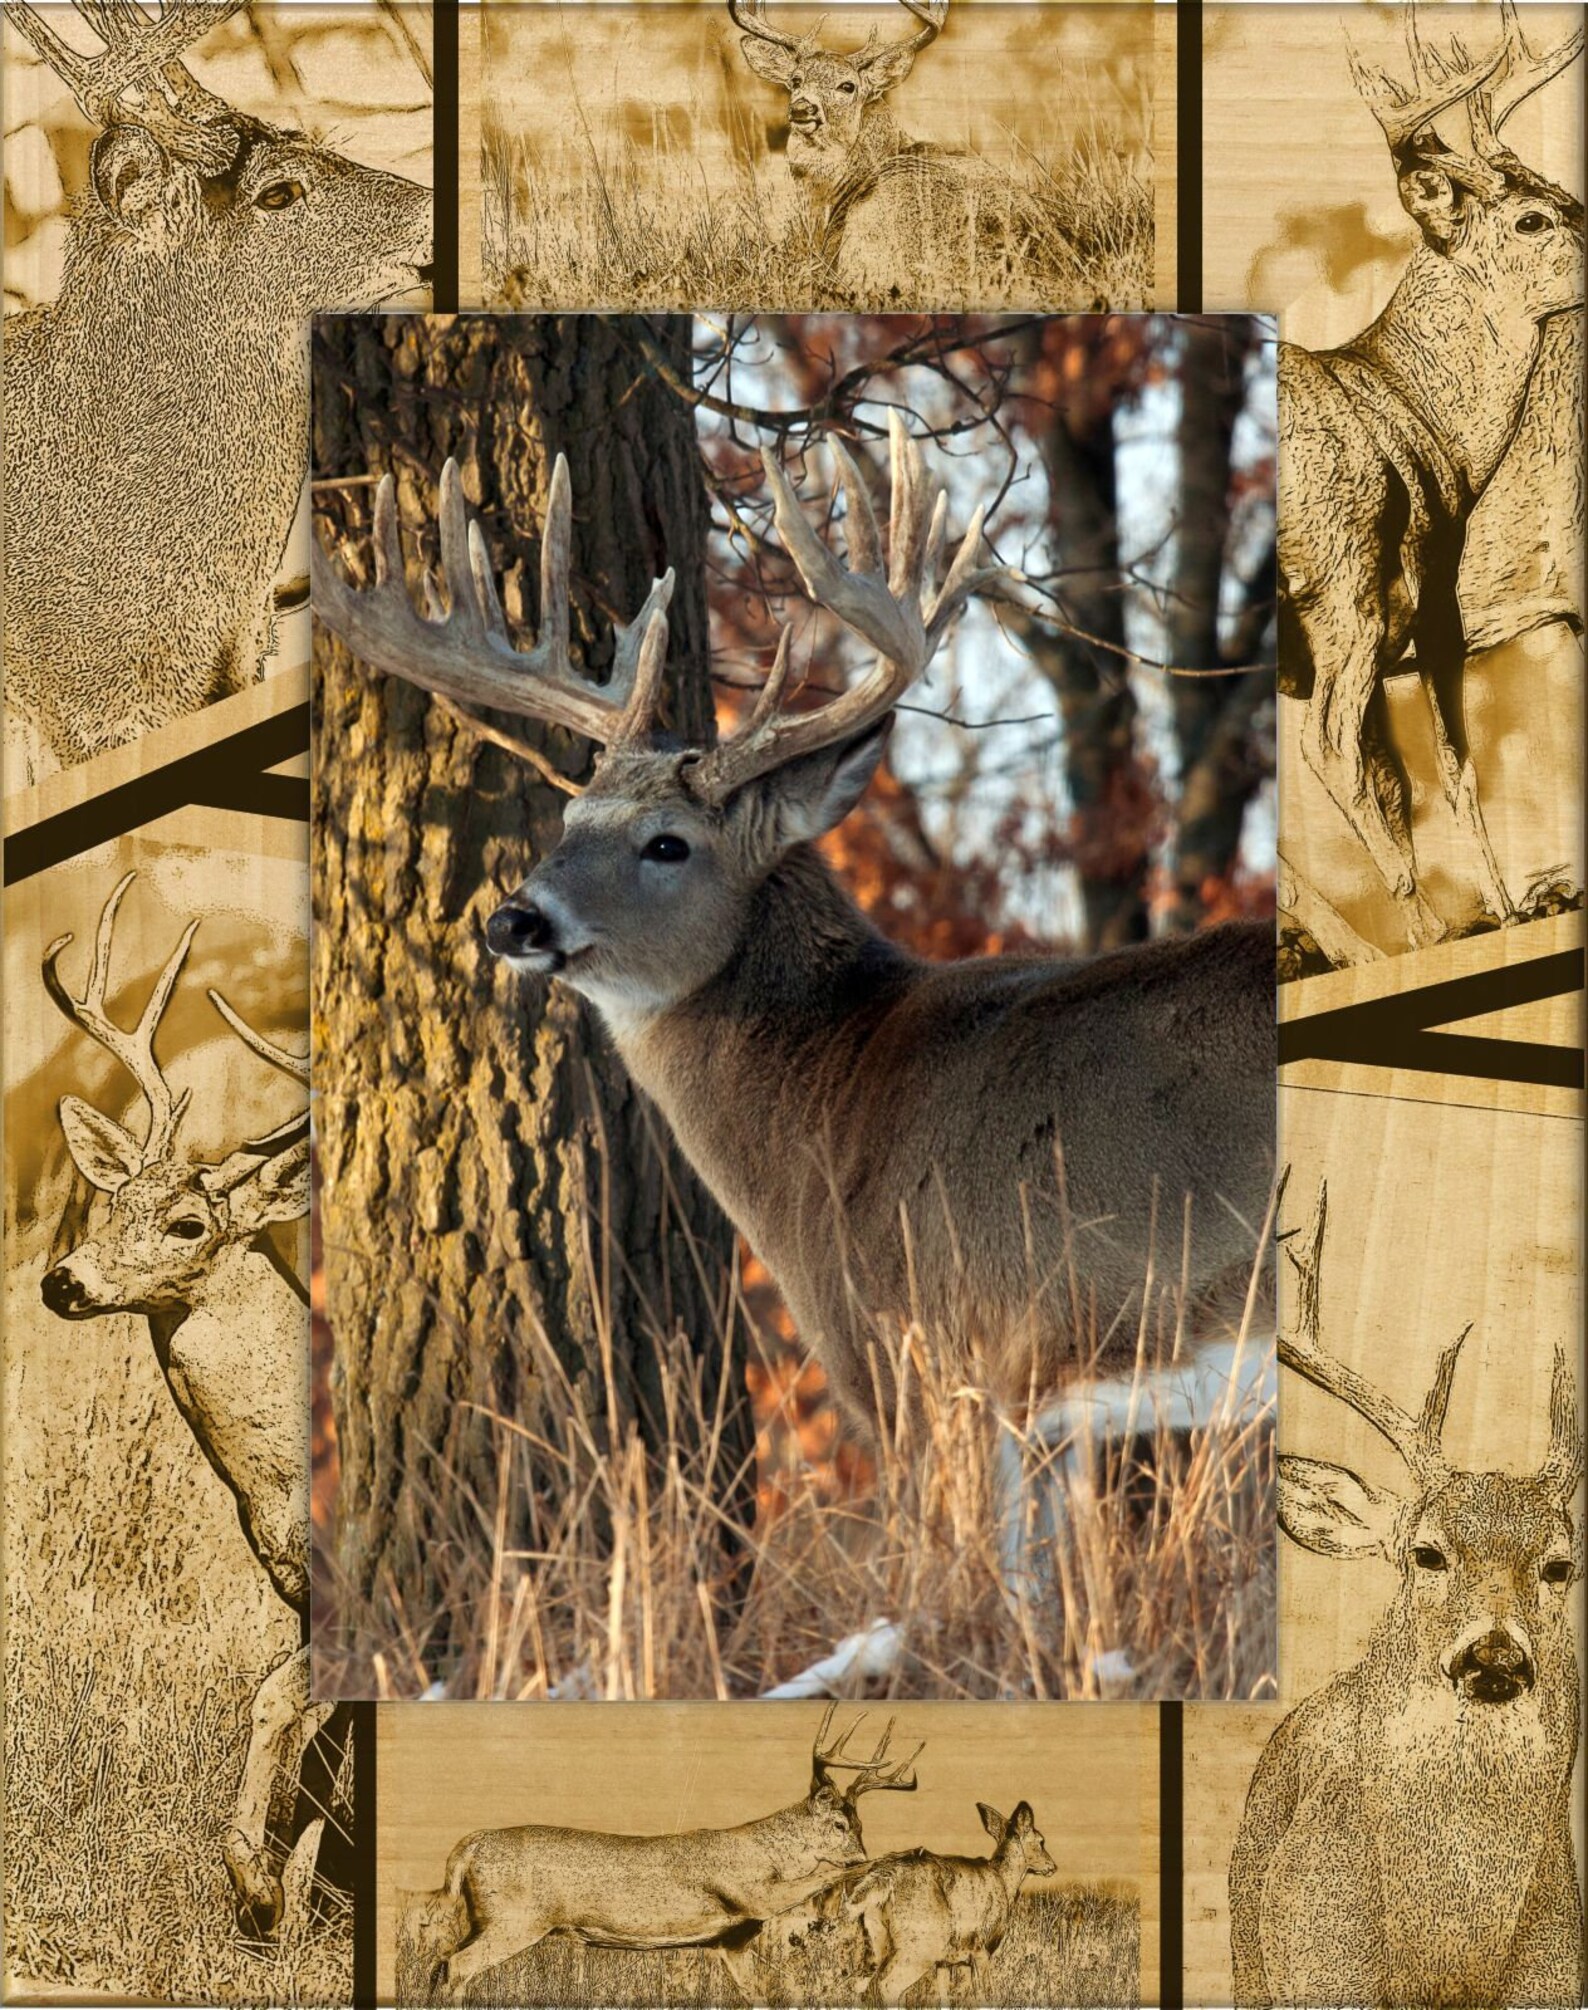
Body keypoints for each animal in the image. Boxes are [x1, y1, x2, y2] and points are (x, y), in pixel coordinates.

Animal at [38, 871, 345, 1944]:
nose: (62, 1282)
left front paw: (258, 1887)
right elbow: (302, 1722)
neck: (279, 1484)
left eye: (185, 1224)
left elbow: (277, 1698)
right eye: (112, 1201)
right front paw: (287, 1902)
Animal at [313, 415, 1276, 1524]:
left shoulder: (932, 1360)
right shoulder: (1037, 1413)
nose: (514, 919)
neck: (826, 1107)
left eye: (668, 844)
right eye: (567, 819)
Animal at [403, 1706, 922, 2004]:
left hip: (484, 1918)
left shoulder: (732, 1942)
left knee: (440, 1961)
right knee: (459, 1966)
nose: (860, 1849)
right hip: (517, 1920)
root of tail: (472, 1843)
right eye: (839, 1824)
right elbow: (822, 1877)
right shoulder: (751, 1896)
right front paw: (895, 1853)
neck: (763, 1852)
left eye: (859, 1825)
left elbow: (760, 1995)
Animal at [1278, 2, 1584, 951]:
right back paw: (1421, 927)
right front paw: (1490, 913)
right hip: (1342, 572)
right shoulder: (1431, 597)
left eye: (1571, 197)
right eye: (1533, 220)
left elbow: (1408, 777)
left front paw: (1503, 908)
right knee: (1326, 749)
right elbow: (1452, 765)